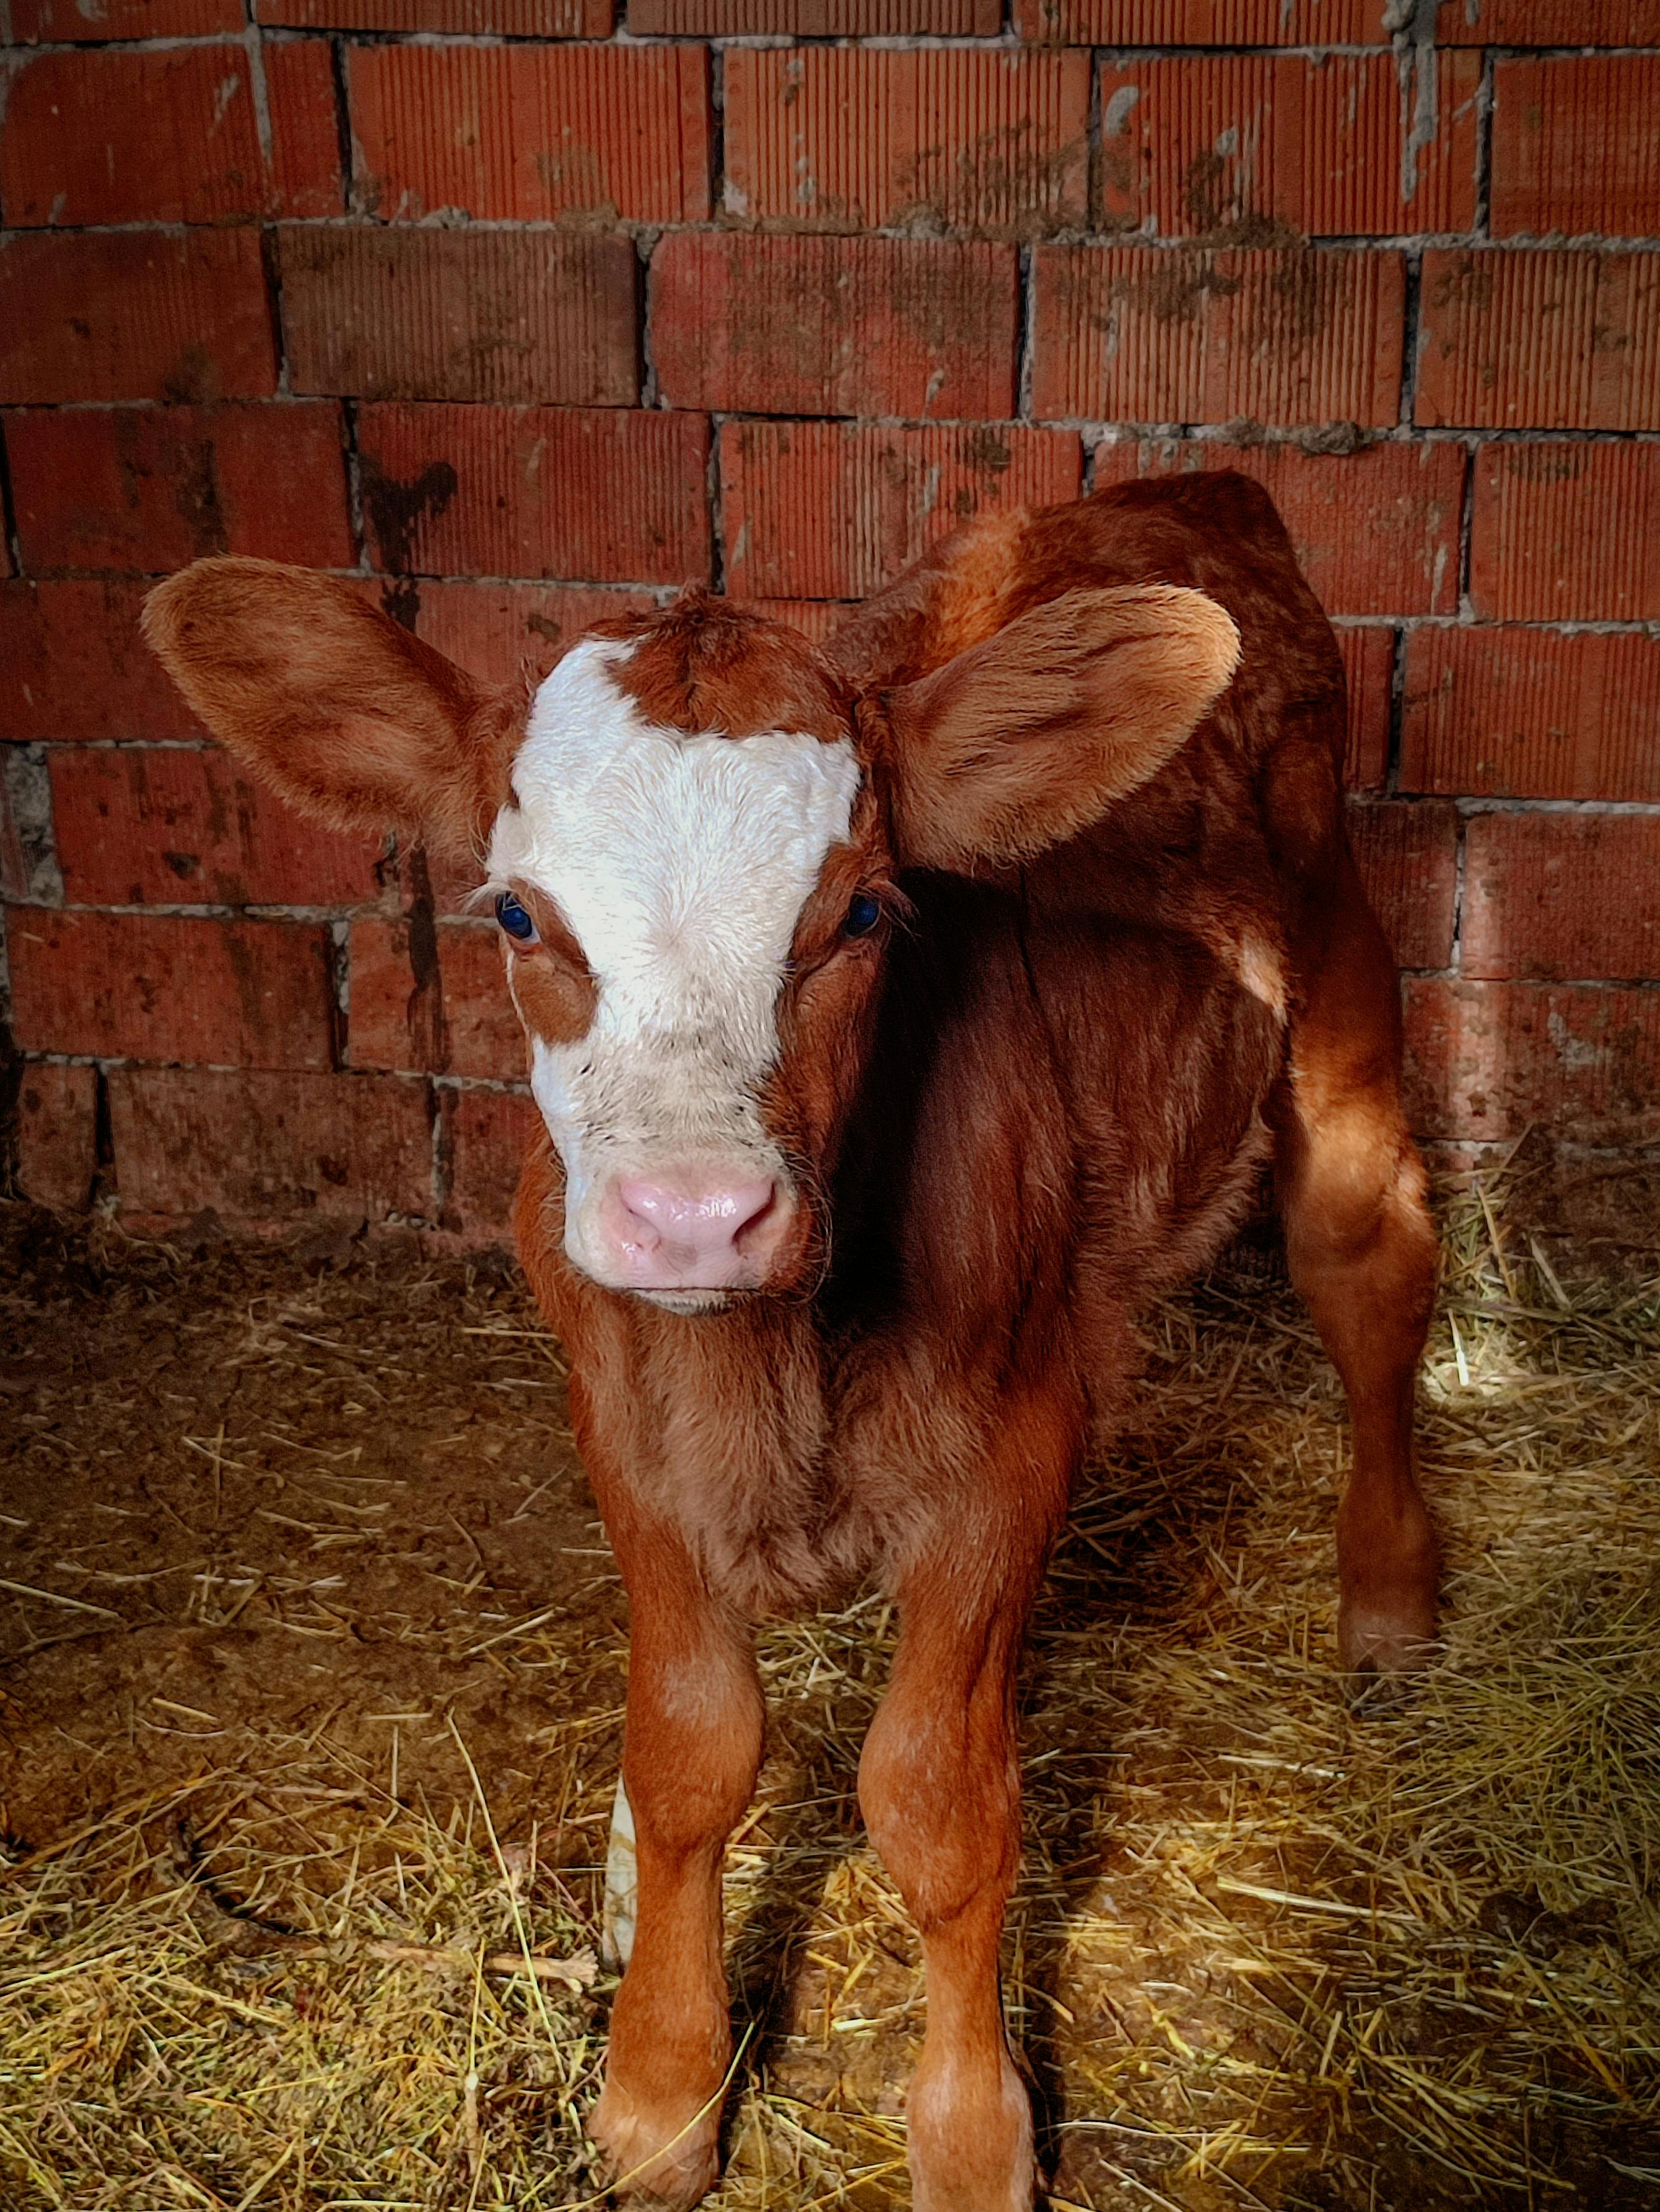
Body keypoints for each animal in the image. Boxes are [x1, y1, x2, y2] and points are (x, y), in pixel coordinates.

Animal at [144, 471, 1440, 2212]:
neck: (769, 1372)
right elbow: (692, 1751)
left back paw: (1387, 1601)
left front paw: (968, 2135)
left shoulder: (1012, 1446)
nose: (694, 1216)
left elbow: (936, 1803)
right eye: (516, 913)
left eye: (865, 912)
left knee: (1367, 1264)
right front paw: (657, 2086)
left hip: (1343, 982)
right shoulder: (622, 1427)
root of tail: (1186, 490)